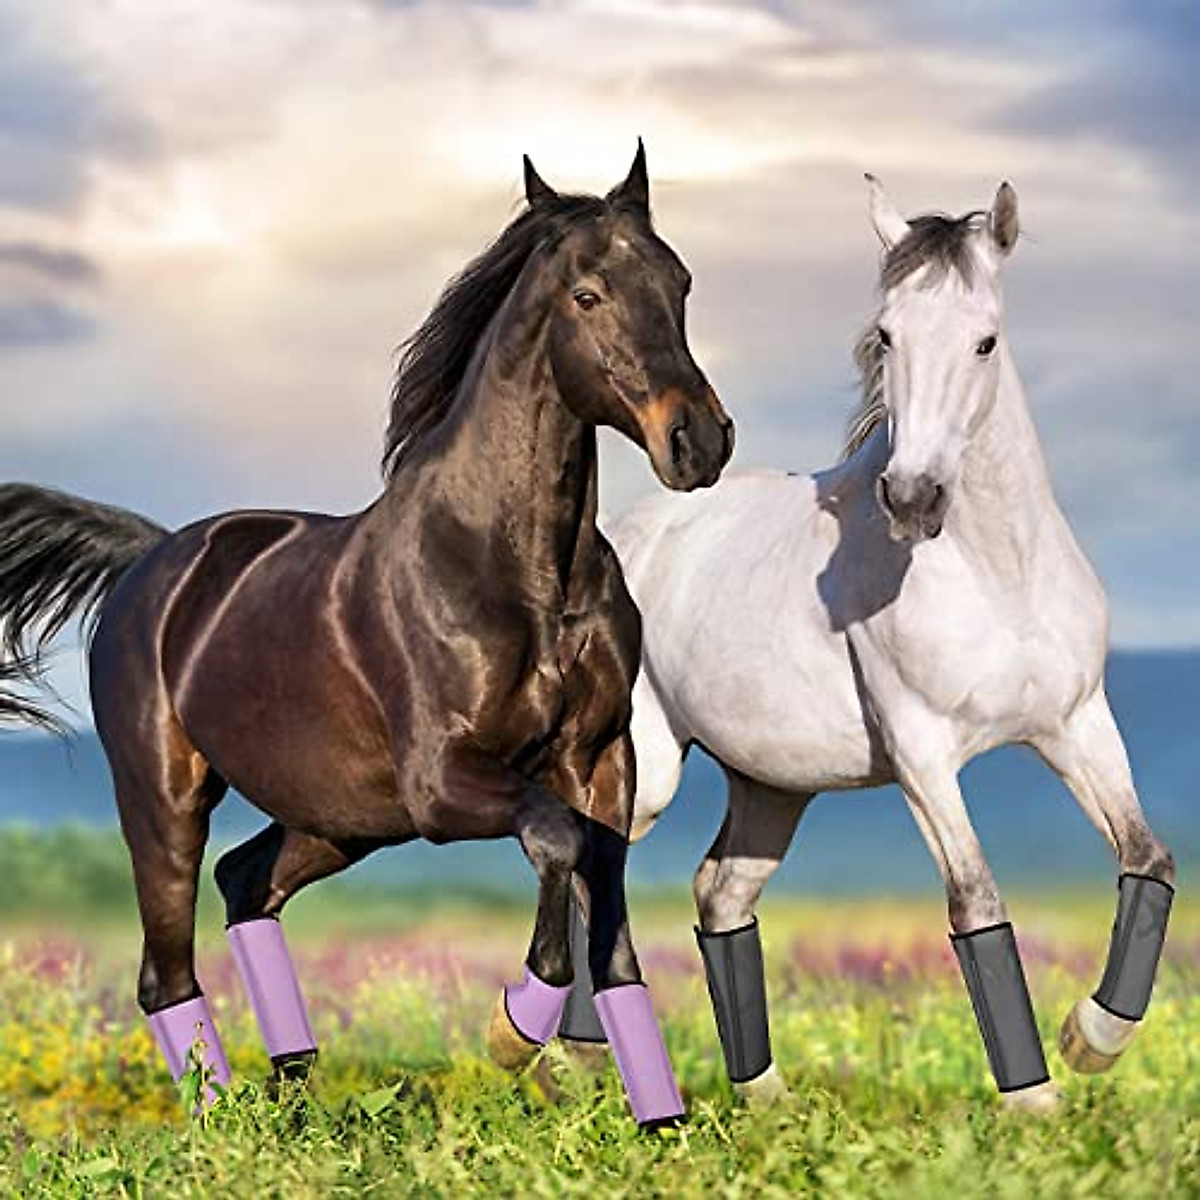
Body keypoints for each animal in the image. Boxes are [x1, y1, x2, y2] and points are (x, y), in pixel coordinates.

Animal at [0, 144, 734, 1127]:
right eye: (588, 294)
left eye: (679, 282)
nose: (700, 441)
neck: (519, 570)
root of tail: (151, 559)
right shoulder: (444, 781)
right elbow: (555, 843)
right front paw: (514, 1028)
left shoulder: (599, 761)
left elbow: (608, 920)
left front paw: (662, 1123)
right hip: (167, 800)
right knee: (165, 971)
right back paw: (223, 1123)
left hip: (344, 817)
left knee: (246, 883)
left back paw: (291, 1098)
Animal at [585, 177, 1174, 1111]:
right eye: (888, 334)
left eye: (985, 340)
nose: (912, 498)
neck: (997, 574)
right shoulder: (923, 753)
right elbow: (976, 901)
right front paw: (1035, 1101)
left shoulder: (1077, 724)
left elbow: (1148, 860)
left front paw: (1092, 1039)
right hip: (648, 770)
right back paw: (556, 1061)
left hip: (772, 788)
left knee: (719, 894)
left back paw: (761, 1097)